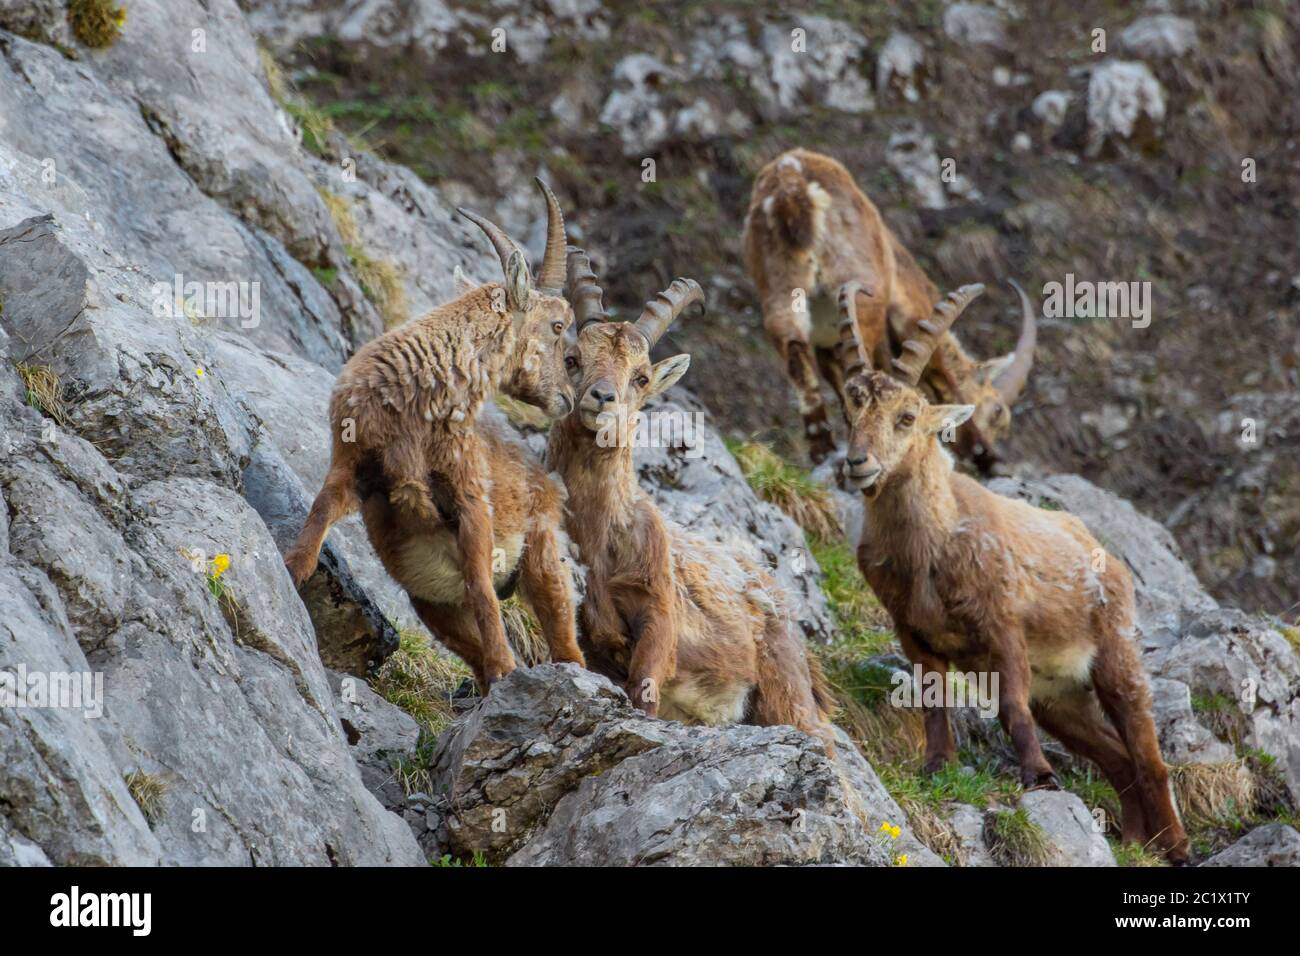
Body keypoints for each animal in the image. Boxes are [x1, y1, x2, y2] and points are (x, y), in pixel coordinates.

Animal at [284, 179, 584, 688]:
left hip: (544, 557)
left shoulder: (468, 495)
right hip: (435, 607)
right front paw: (294, 568)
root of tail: (545, 479)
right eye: (558, 324)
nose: (567, 396)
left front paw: (506, 667)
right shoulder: (355, 462)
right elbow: (322, 506)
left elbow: (481, 585)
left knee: (568, 646)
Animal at [544, 246, 836, 753]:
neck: (600, 532)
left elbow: (645, 688)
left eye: (641, 377)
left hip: (783, 687)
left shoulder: (660, 612)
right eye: (574, 357)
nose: (602, 398)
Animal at [742, 148, 1035, 471]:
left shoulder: (825, 344)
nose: (992, 451)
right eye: (997, 412)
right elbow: (940, 377)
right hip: (863, 296)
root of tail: (792, 186)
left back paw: (823, 448)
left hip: (779, 286)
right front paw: (981, 453)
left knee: (793, 344)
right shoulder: (910, 313)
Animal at [835, 281, 1189, 863]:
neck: (930, 543)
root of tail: (1101, 551)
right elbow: (933, 706)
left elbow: (1010, 709)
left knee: (1148, 756)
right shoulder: (915, 634)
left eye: (907, 417)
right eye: (850, 411)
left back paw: (1176, 846)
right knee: (1117, 759)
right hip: (1061, 697)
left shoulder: (1002, 627)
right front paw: (937, 767)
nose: (858, 463)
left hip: (1114, 656)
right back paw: (1138, 841)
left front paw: (1040, 778)